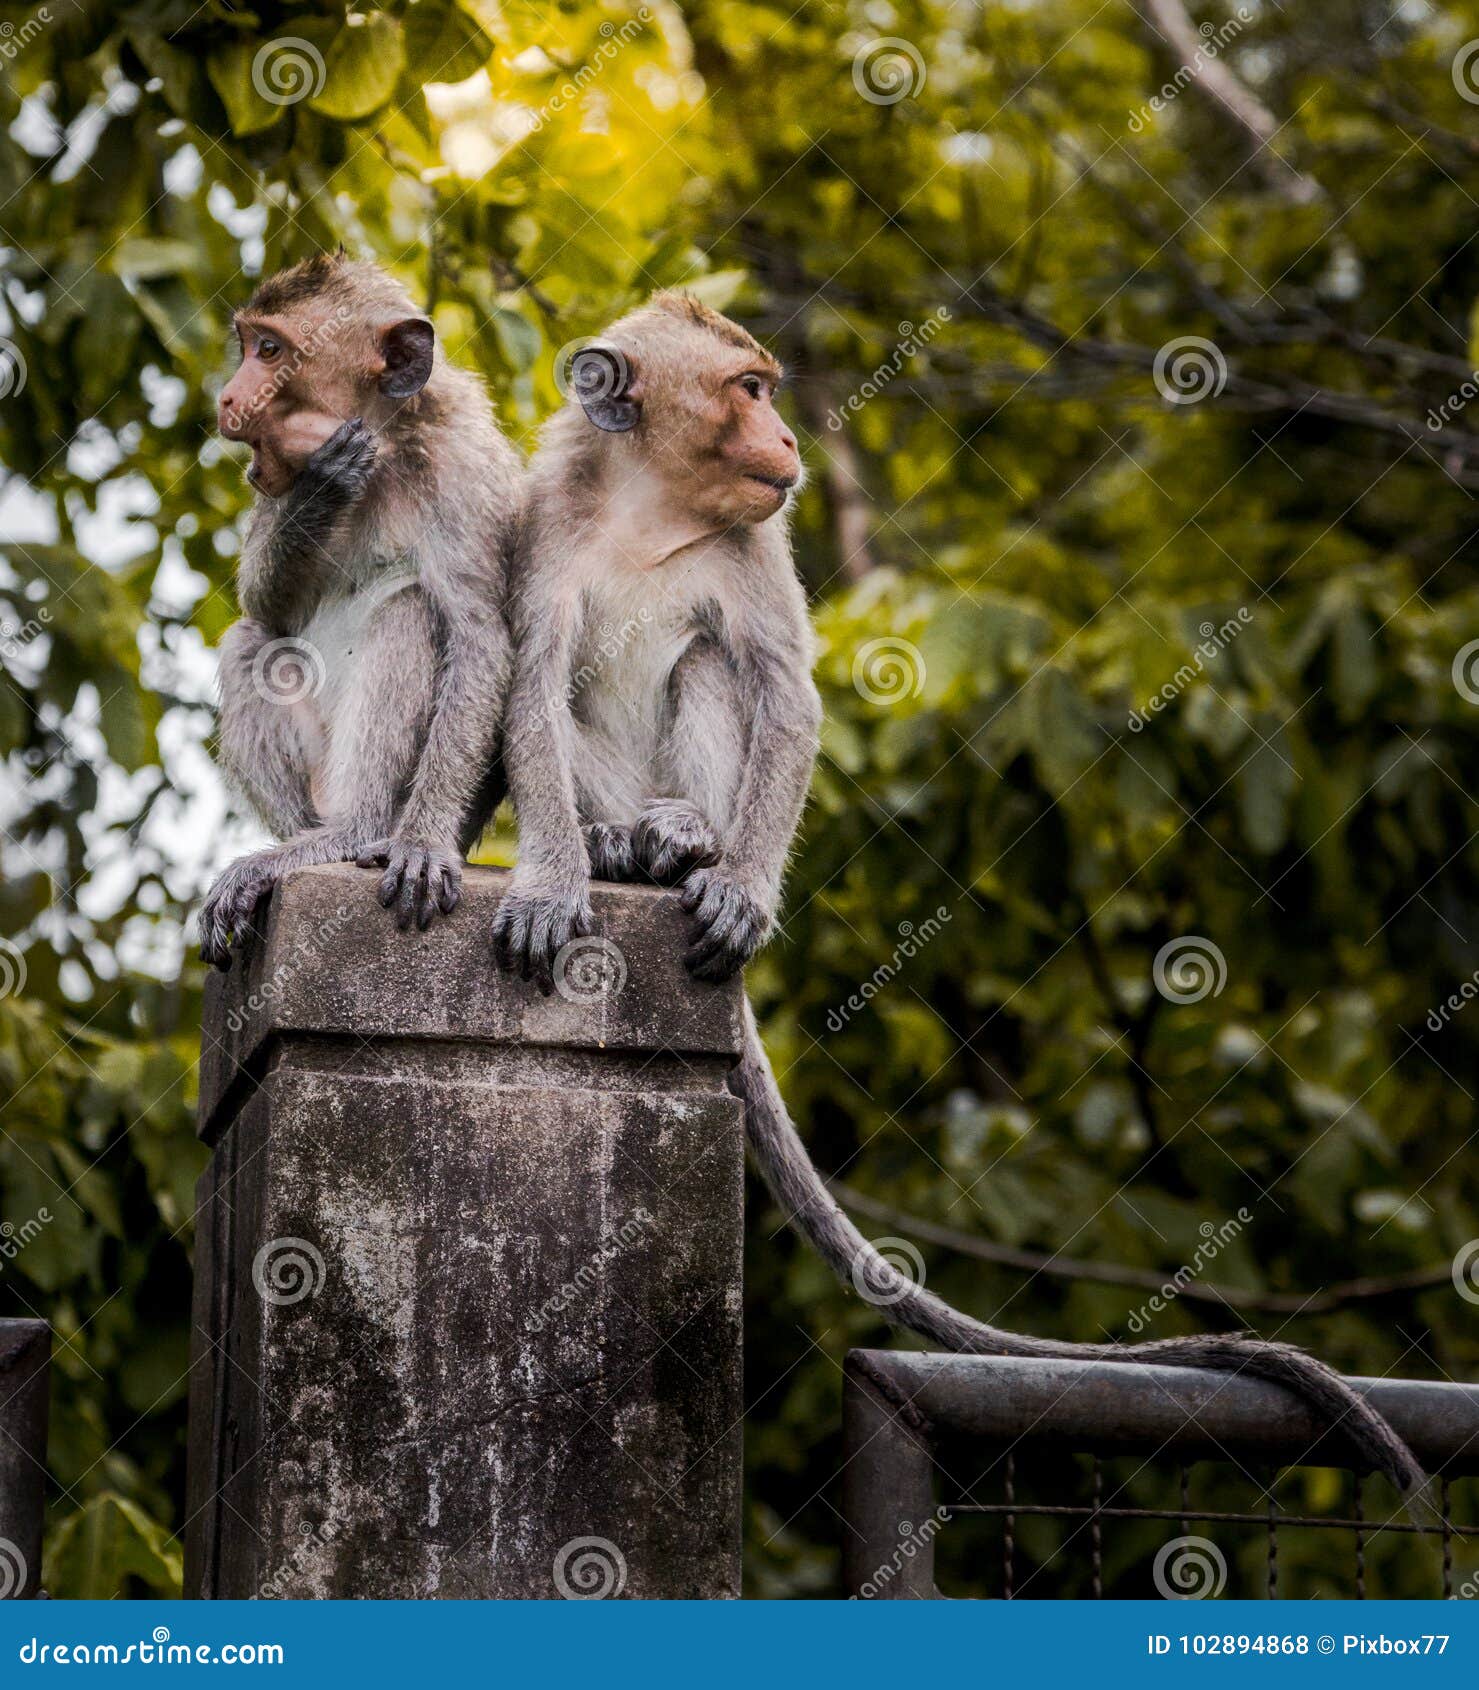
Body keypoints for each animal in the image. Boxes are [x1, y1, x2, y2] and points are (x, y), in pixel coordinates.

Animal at [198, 253, 520, 967]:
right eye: (247, 344)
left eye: (270, 351)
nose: (227, 398)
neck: (390, 448)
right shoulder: (276, 478)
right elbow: (265, 602)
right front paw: (324, 484)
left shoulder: (466, 477)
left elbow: (480, 640)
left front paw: (424, 843)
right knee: (249, 640)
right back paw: (297, 848)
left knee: (411, 609)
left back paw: (354, 833)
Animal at [490, 292, 1425, 1495]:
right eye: (748, 391)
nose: (786, 438)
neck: (650, 508)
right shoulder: (546, 518)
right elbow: (528, 682)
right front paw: (555, 873)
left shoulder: (754, 540)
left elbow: (784, 691)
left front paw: (741, 888)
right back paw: (615, 845)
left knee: (709, 663)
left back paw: (688, 843)